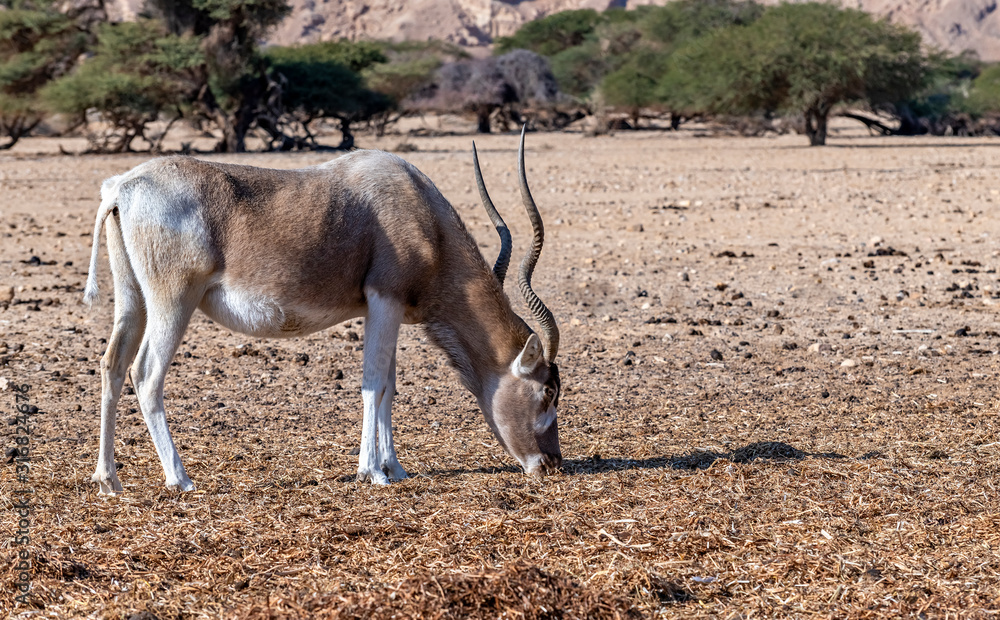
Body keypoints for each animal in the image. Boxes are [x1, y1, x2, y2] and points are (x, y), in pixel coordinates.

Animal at [83, 128, 562, 494]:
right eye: (547, 392)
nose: (550, 464)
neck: (422, 214)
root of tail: (121, 187)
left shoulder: (380, 310)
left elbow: (389, 386)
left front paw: (395, 467)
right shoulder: (384, 300)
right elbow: (373, 383)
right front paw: (372, 473)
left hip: (134, 299)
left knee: (113, 364)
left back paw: (109, 481)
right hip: (174, 301)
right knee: (146, 373)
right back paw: (179, 479)